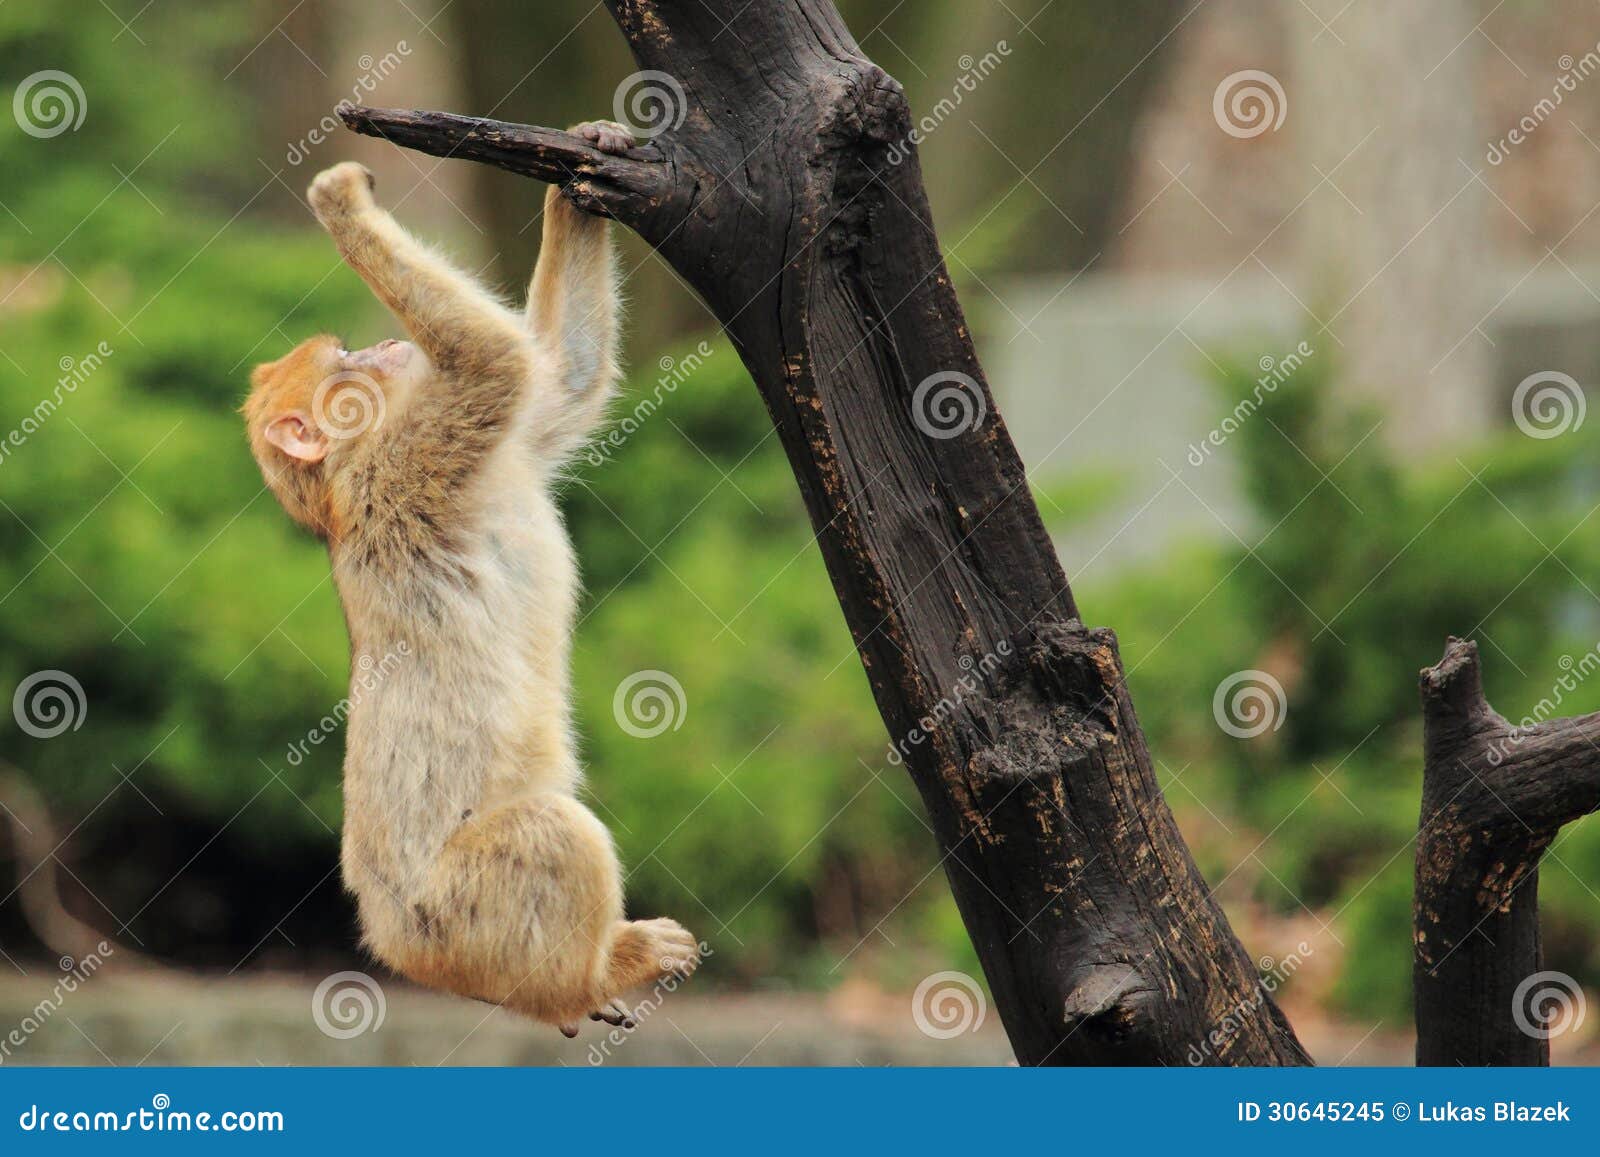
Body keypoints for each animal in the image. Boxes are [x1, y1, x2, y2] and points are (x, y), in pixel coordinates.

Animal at [242, 122, 698, 1037]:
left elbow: (560, 376)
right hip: (461, 910)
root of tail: (393, 942)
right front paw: (341, 203)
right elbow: (496, 361)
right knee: (551, 832)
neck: (349, 467)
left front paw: (582, 169)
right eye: (345, 359)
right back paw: (594, 975)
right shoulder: (419, 450)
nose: (385, 342)